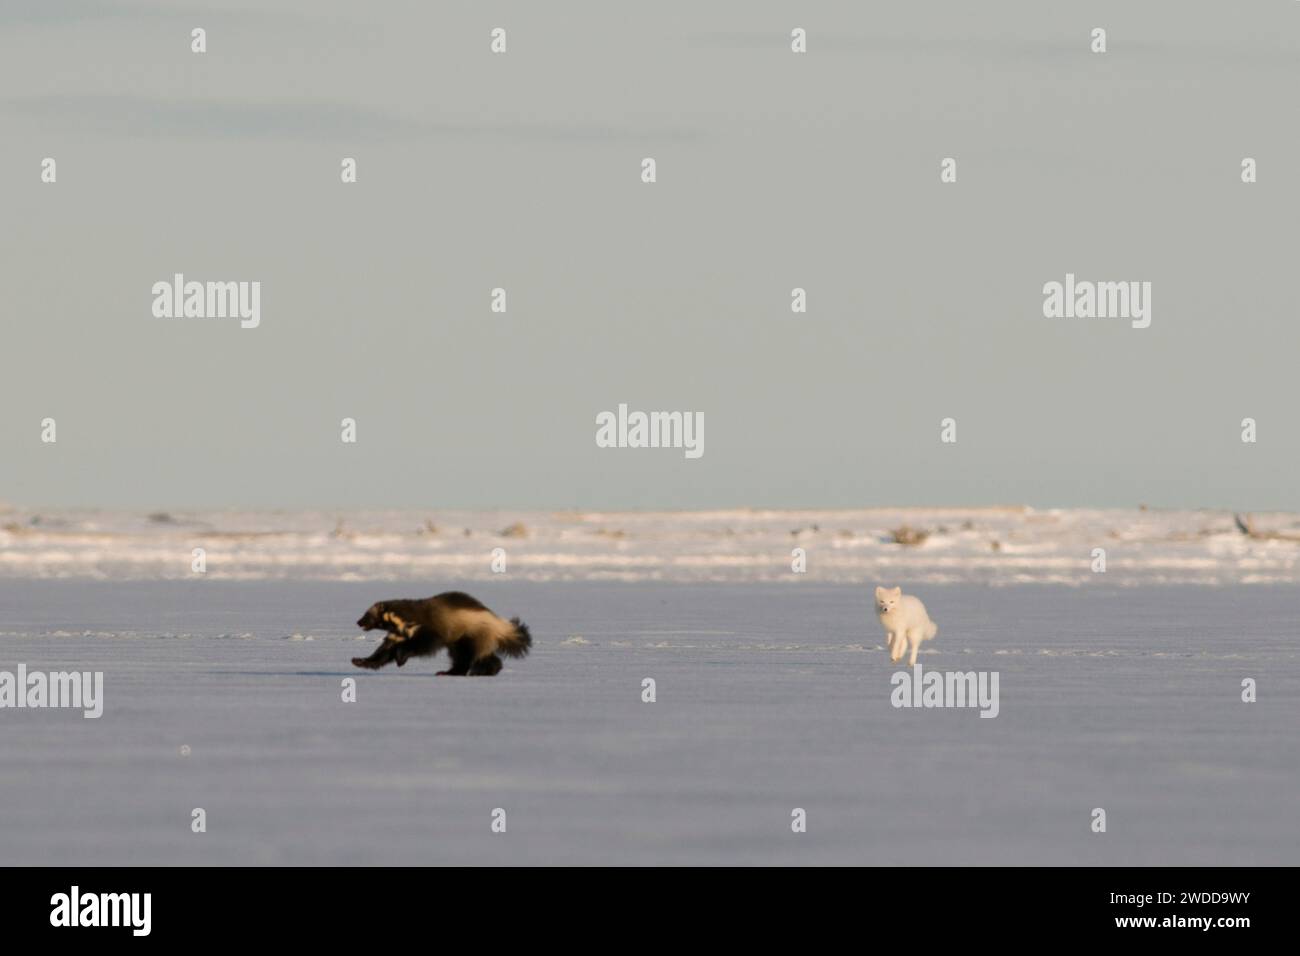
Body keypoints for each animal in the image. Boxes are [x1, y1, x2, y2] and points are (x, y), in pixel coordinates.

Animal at [351, 591, 531, 676]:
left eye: (366, 615)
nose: (358, 622)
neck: (401, 620)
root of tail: (498, 623)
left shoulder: (425, 627)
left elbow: (423, 644)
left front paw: (401, 658)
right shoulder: (398, 634)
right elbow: (384, 653)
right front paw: (359, 661)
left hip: (472, 634)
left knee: (469, 657)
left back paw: (467, 672)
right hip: (464, 640)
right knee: (475, 657)